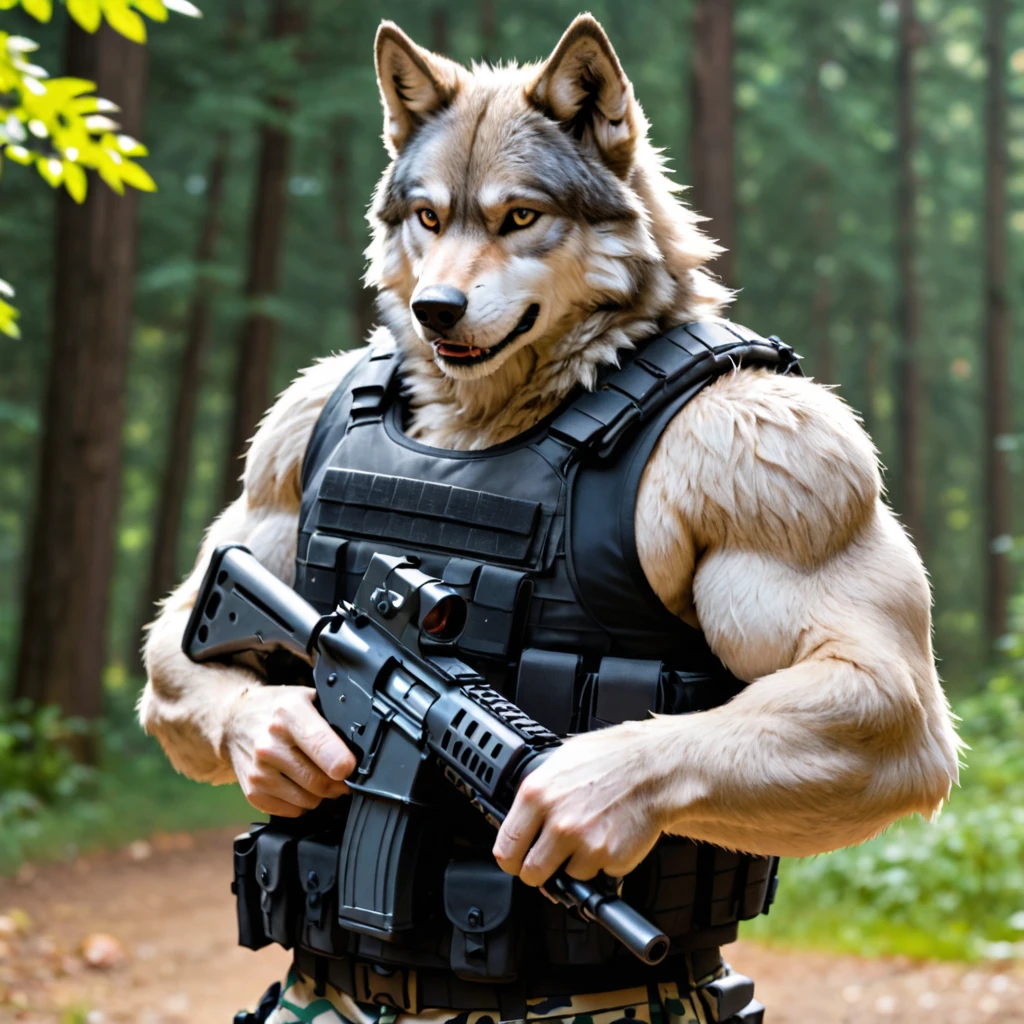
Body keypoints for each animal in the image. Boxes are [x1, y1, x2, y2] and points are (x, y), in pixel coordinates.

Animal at [140, 14, 961, 1024]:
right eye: (427, 217)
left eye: (521, 217)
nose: (434, 307)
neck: (494, 411)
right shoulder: (288, 432)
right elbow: (181, 635)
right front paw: (280, 739)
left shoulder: (784, 457)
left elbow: (887, 699)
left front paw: (585, 795)